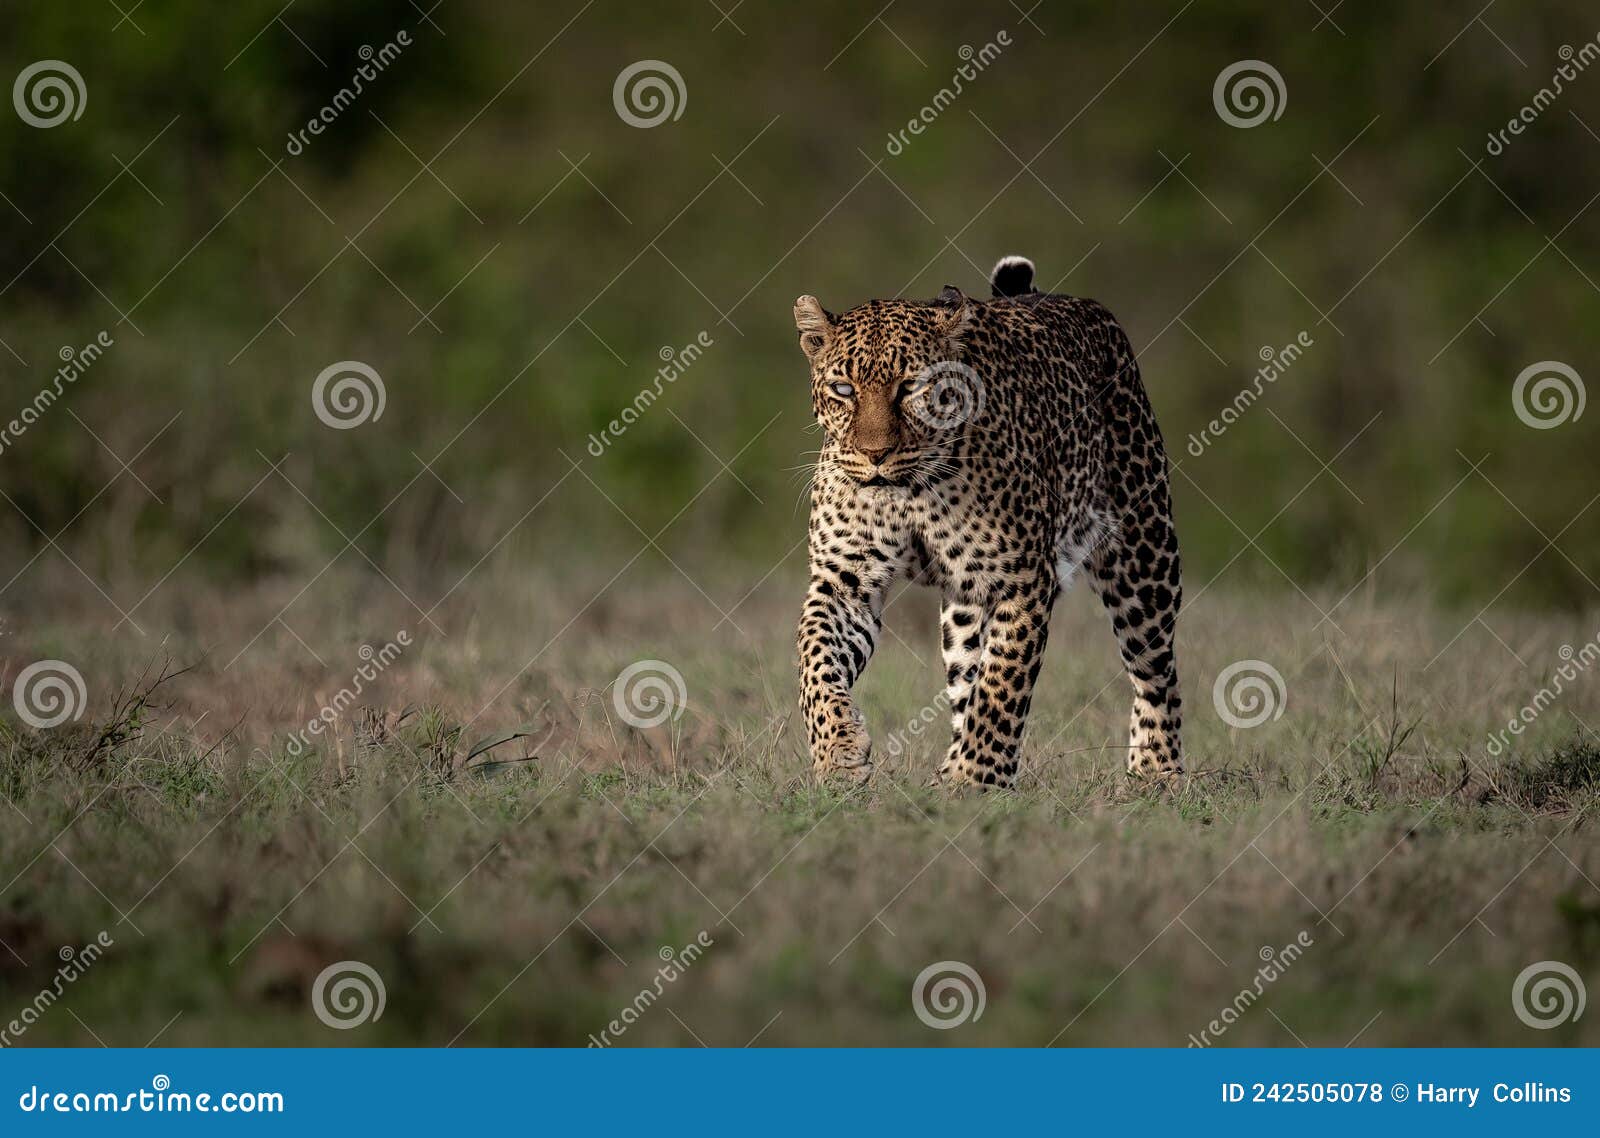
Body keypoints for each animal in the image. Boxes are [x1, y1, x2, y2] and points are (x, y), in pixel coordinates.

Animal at [793, 254, 1183, 790]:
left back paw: (1157, 770)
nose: (875, 455)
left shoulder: (1023, 581)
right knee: (965, 681)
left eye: (911, 387)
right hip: (963, 609)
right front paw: (838, 750)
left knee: (1156, 672)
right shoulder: (844, 581)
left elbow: (1002, 686)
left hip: (1144, 558)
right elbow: (815, 661)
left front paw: (975, 778)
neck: (912, 493)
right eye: (843, 389)